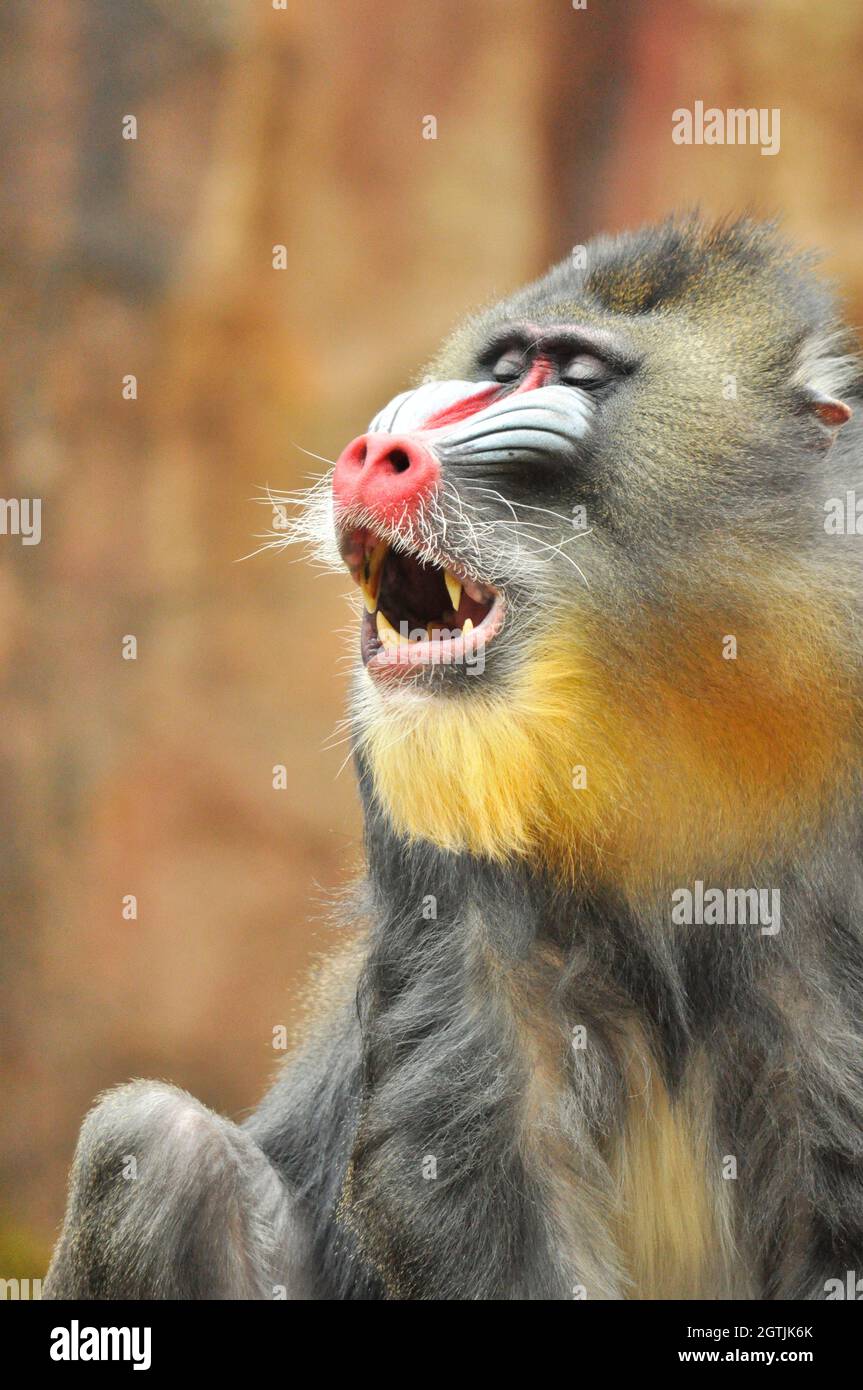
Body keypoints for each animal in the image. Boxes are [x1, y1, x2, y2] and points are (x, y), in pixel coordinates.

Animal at [45, 214, 863, 1300]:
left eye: (575, 374)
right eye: (504, 366)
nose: (377, 453)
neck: (671, 680)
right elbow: (470, 1129)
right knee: (159, 1140)